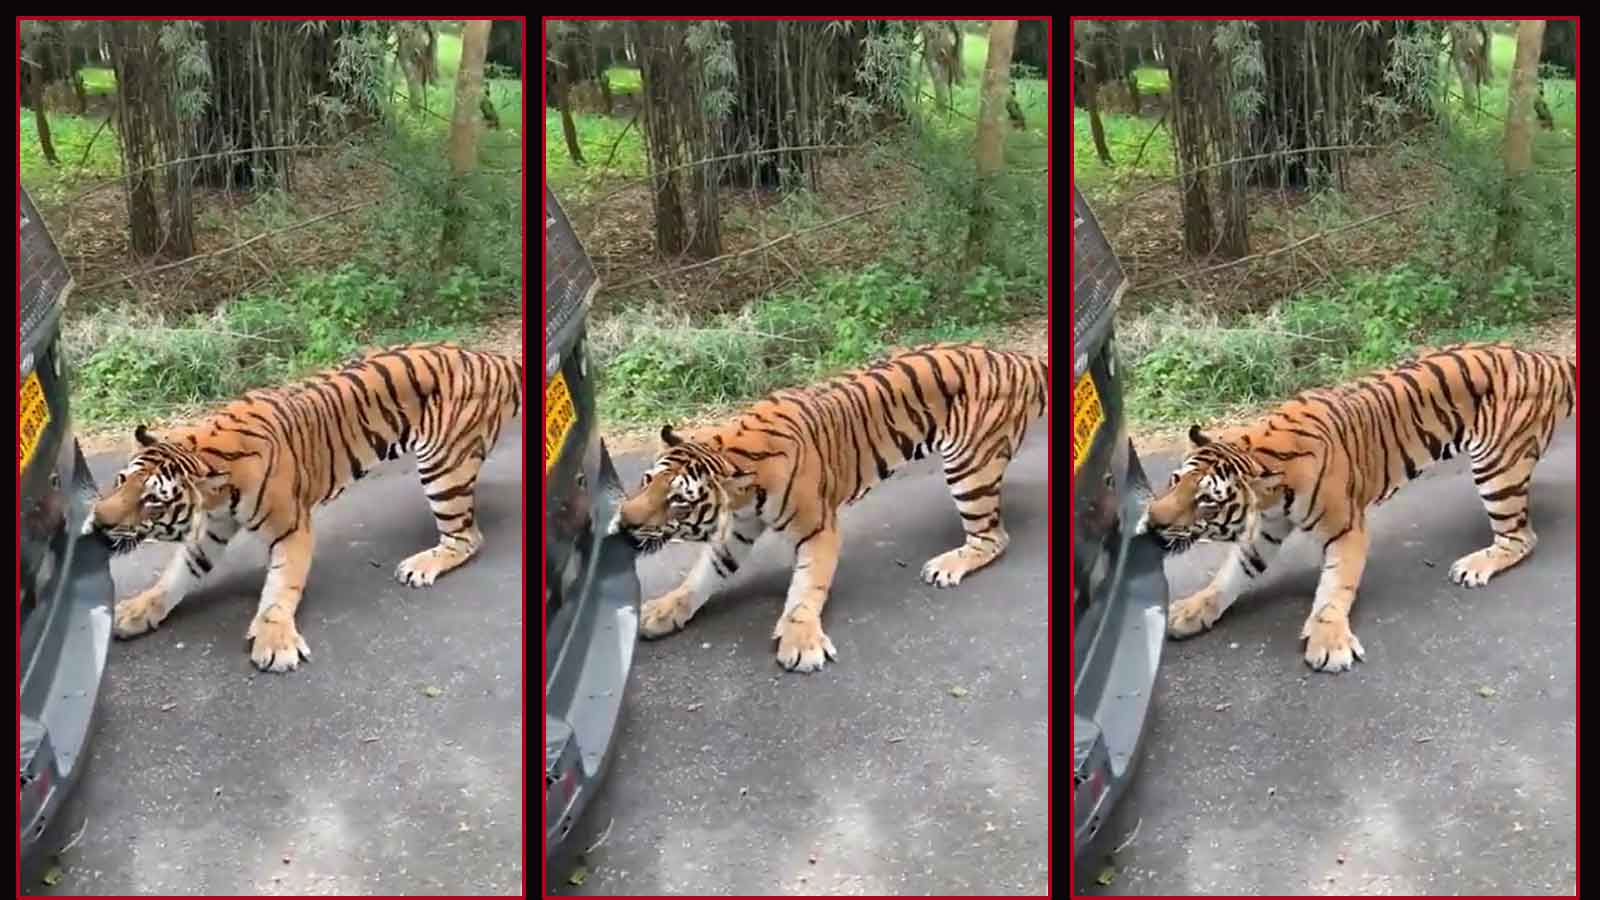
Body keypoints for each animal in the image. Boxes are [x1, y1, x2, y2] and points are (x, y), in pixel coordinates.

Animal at [81, 342, 523, 673]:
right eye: (120, 481)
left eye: (152, 500)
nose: (98, 522)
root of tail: (494, 358)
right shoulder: (210, 530)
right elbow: (177, 574)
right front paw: (139, 610)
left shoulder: (290, 528)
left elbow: (281, 587)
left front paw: (275, 641)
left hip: (443, 466)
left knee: (466, 537)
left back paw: (421, 565)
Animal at [610, 342, 1050, 673]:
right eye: (646, 481)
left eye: (677, 501)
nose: (624, 522)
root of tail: (1020, 358)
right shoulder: (735, 530)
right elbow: (704, 575)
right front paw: (665, 610)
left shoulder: (816, 529)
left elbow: (807, 587)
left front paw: (801, 641)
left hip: (969, 467)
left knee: (992, 537)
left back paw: (947, 565)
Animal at [1138, 343, 1576, 673]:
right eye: (1174, 481)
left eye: (1206, 501)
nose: (1152, 523)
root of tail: (1548, 358)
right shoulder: (1263, 530)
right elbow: (1231, 575)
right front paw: (1193, 609)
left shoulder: (1344, 529)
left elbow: (1335, 587)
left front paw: (1329, 641)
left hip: (1497, 467)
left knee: (1520, 537)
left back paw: (1475, 565)